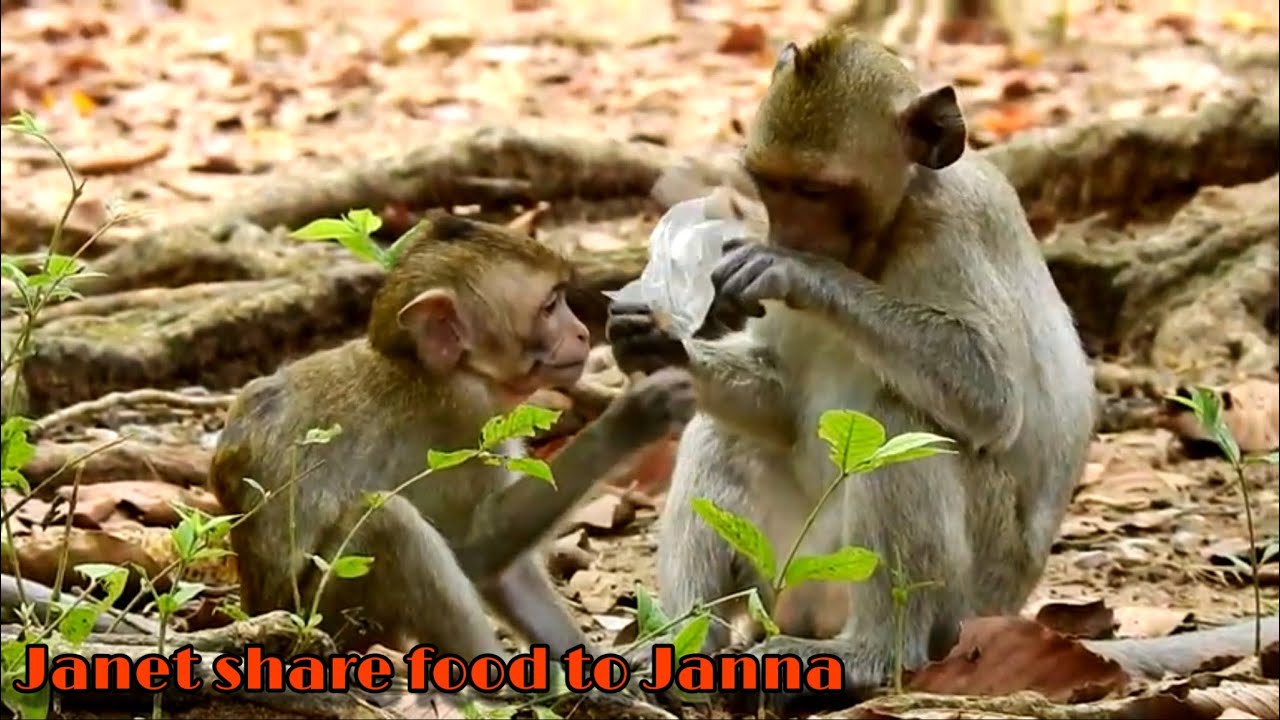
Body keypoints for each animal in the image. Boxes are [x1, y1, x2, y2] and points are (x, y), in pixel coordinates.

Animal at [209, 212, 697, 679]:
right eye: (549, 306)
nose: (580, 332)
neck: (436, 367)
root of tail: (258, 609)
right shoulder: (463, 419)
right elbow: (474, 550)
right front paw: (636, 414)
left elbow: (506, 575)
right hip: (322, 619)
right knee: (390, 523)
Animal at [607, 31, 1278, 711]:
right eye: (774, 185)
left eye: (818, 192)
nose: (792, 234)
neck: (884, 231)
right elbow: (779, 401)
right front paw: (657, 343)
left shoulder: (957, 223)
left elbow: (990, 398)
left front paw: (799, 271)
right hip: (795, 569)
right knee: (724, 432)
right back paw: (682, 650)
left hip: (960, 601)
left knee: (900, 417)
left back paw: (868, 657)